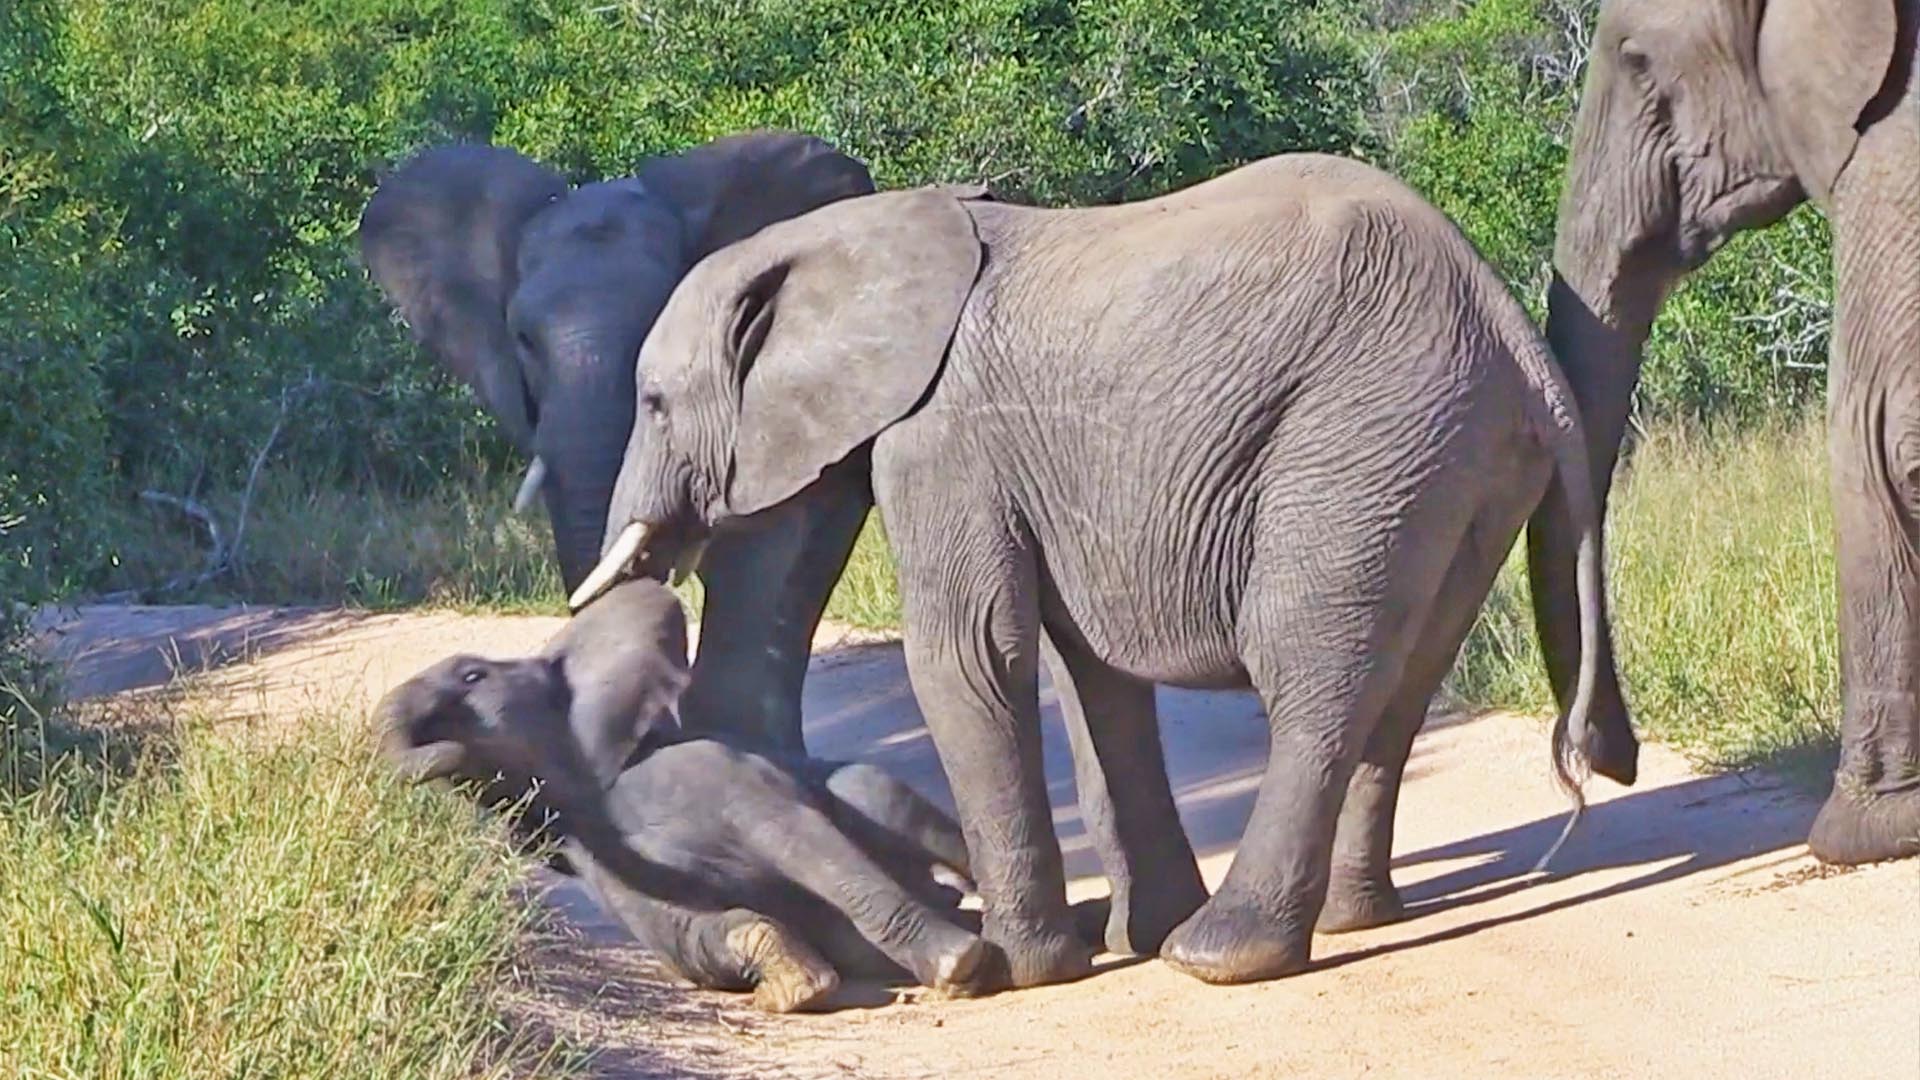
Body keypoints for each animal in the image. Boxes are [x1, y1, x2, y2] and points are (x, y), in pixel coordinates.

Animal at [376, 578, 987, 1011]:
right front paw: (795, 985)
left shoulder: (705, 769)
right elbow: (684, 932)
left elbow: (809, 846)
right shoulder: (587, 852)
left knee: (873, 792)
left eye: (473, 677)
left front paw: (957, 966)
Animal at [568, 153, 1623, 988]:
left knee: (1312, 671)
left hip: (1369, 433)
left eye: (653, 402)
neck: (855, 231)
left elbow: (970, 654)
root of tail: (1515, 334)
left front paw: (1023, 969)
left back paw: (1220, 956)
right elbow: (1091, 674)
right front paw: (1124, 941)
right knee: (1403, 683)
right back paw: (1346, 921)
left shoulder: (942, 437)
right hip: (1458, 460)